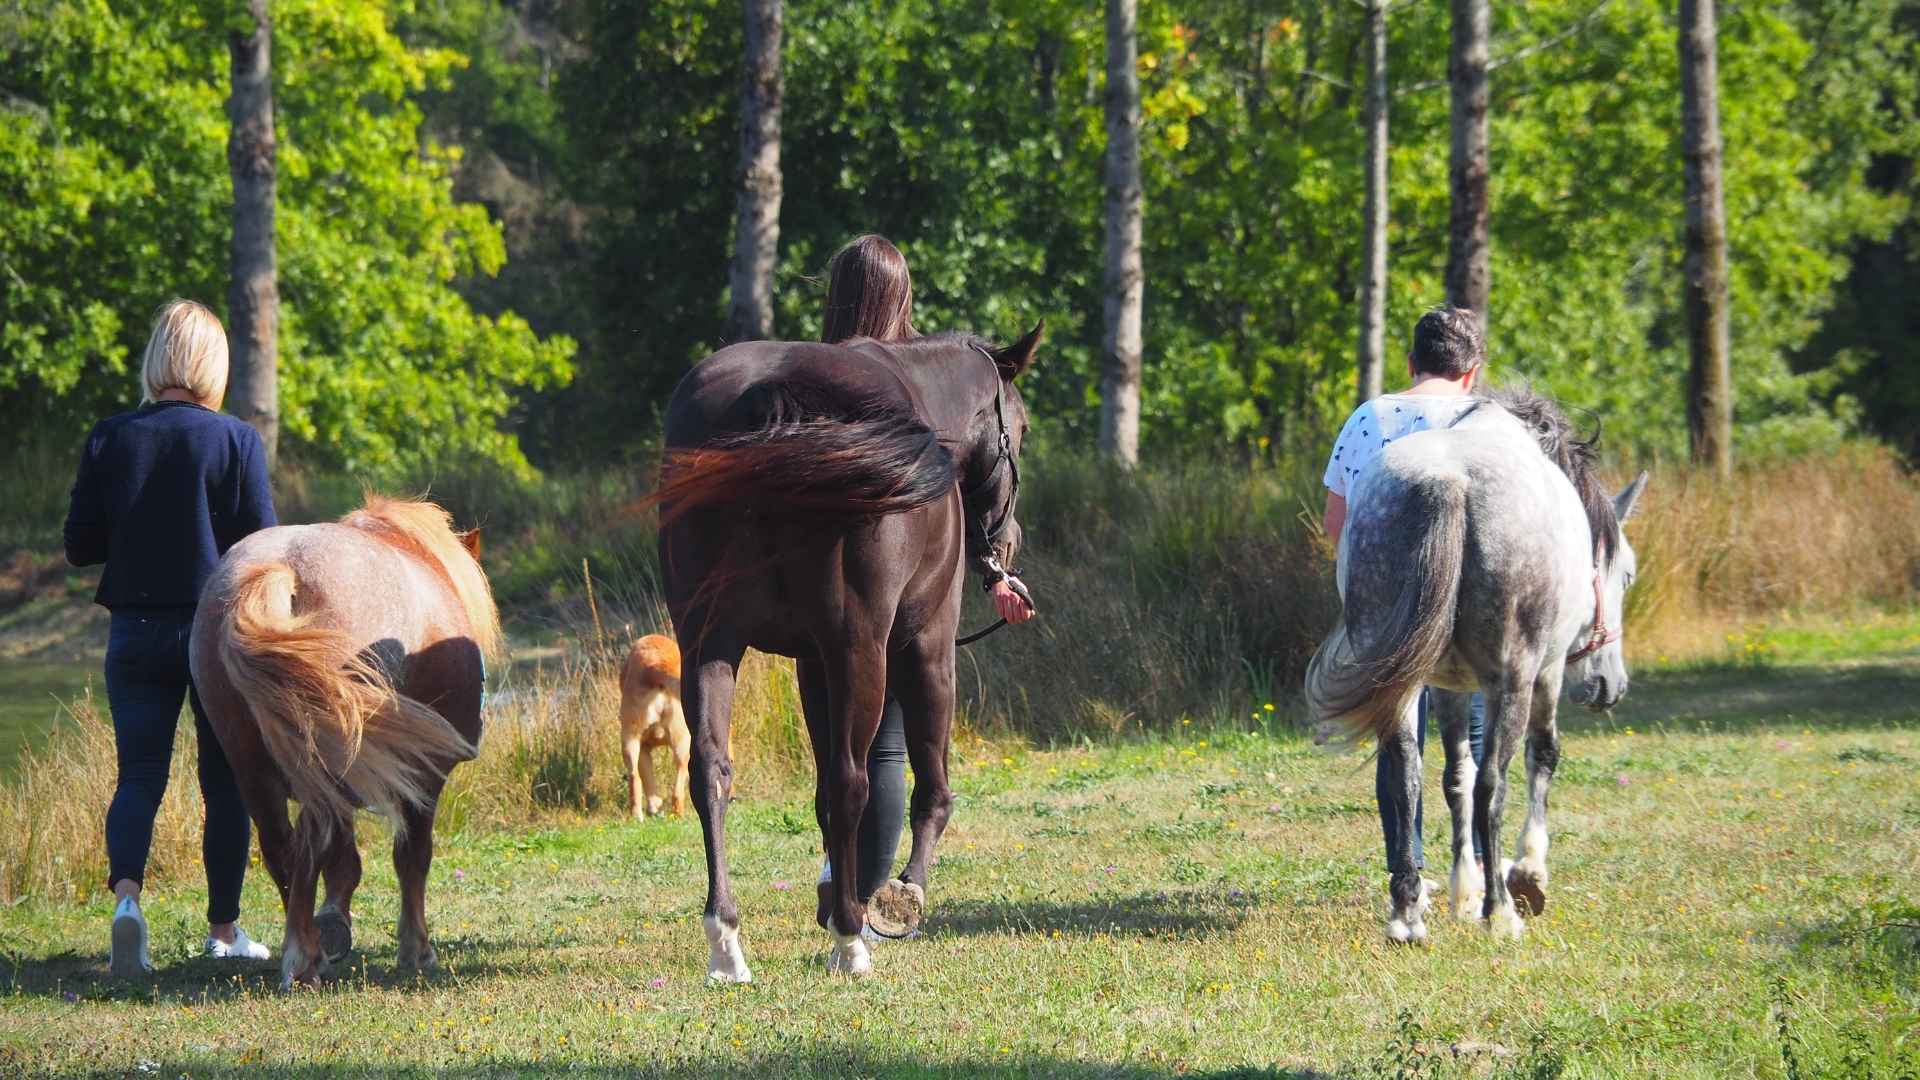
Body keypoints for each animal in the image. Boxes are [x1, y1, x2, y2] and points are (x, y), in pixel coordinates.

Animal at [189, 495, 501, 988]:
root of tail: (280, 570)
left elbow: (344, 861)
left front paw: (335, 925)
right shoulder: (423, 777)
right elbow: (412, 857)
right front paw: (417, 949)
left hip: (254, 770)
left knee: (283, 850)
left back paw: (308, 949)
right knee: (307, 846)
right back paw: (304, 960)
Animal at [648, 326, 1041, 980]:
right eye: (1025, 428)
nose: (1006, 544)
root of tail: (771, 396)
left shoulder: (811, 665)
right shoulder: (926, 650)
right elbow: (930, 792)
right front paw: (902, 895)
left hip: (709, 642)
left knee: (711, 773)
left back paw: (726, 942)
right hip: (860, 650)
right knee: (850, 781)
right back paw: (851, 938)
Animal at [1305, 385, 1647, 944]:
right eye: (1626, 575)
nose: (1609, 685)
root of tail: (1448, 481)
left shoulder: (1448, 685)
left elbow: (1454, 778)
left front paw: (1463, 892)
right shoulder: (1544, 673)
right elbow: (1540, 756)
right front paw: (1527, 875)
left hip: (1401, 682)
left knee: (1407, 775)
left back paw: (1408, 913)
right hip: (1511, 680)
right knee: (1494, 781)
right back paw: (1501, 911)